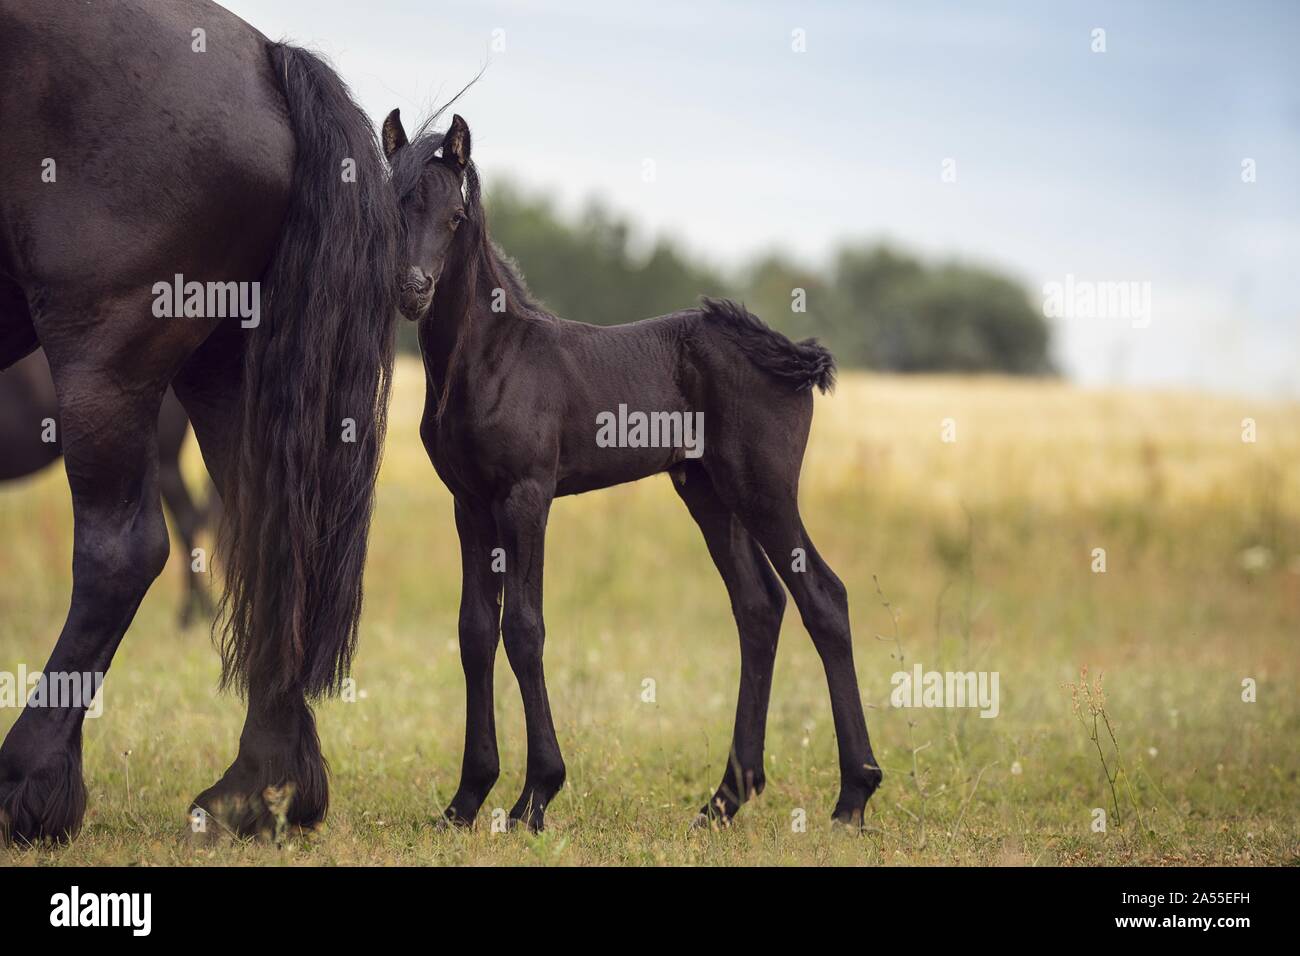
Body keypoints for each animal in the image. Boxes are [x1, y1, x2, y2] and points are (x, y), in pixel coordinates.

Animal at [381, 110, 882, 831]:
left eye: (455, 216)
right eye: (397, 204)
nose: (413, 290)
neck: (491, 357)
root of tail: (787, 353)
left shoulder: (527, 496)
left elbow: (523, 629)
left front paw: (536, 796)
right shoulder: (469, 501)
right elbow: (474, 630)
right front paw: (466, 800)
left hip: (763, 488)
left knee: (824, 596)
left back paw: (851, 796)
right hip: (709, 493)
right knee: (759, 606)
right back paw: (723, 801)